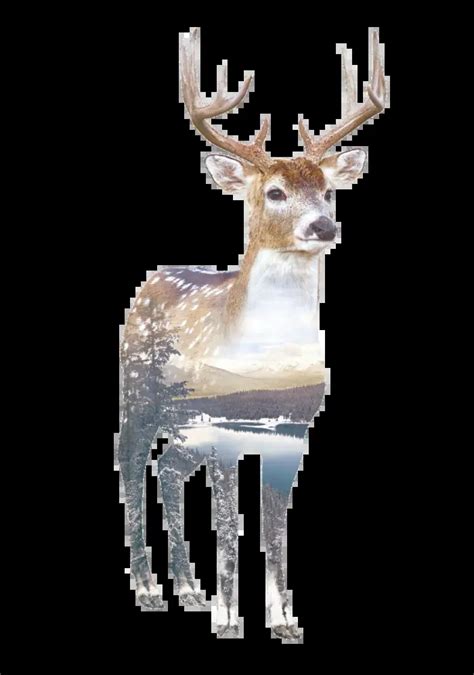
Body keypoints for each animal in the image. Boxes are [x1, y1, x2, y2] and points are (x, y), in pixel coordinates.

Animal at [116, 26, 388, 642]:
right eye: (275, 193)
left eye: (328, 190)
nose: (324, 226)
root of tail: (149, 281)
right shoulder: (224, 427)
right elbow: (228, 519)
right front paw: (228, 617)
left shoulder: (291, 432)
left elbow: (273, 527)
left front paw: (284, 620)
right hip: (137, 395)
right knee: (130, 462)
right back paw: (148, 590)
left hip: (184, 427)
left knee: (167, 470)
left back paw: (188, 591)